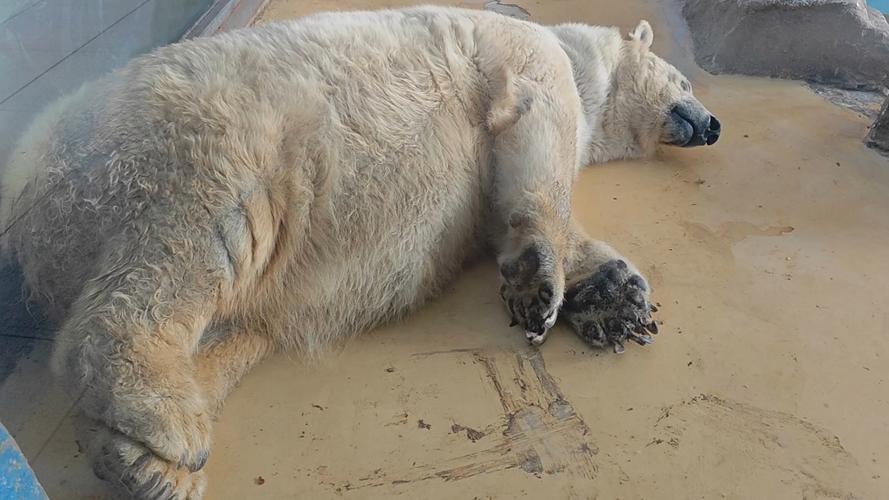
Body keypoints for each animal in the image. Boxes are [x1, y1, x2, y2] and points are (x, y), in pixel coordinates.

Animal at [0, 5, 719, 499]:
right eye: (683, 78)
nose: (713, 123)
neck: (576, 52)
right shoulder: (525, 55)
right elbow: (533, 142)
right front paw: (545, 282)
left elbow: (498, 205)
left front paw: (613, 298)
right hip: (204, 132)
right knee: (202, 234)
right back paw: (163, 422)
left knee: (244, 329)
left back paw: (145, 462)